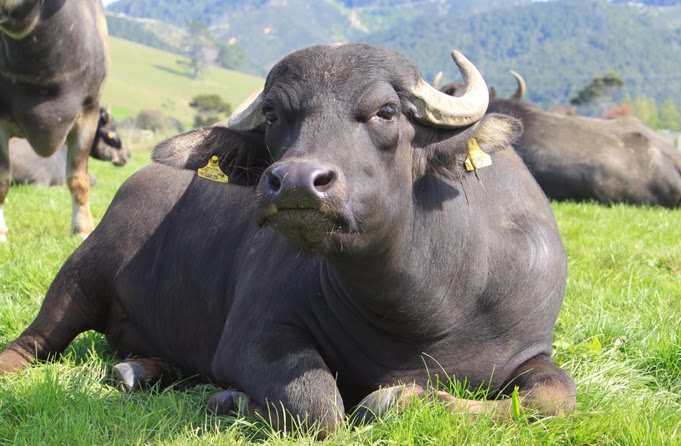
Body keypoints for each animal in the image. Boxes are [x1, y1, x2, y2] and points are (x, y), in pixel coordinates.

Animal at [0, 44, 575, 436]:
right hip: (82, 271)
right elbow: (319, 403)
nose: (296, 181)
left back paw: (137, 370)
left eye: (386, 112)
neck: (424, 309)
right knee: (34, 339)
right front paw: (229, 400)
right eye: (274, 113)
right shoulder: (254, 333)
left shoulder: (530, 349)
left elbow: (557, 397)